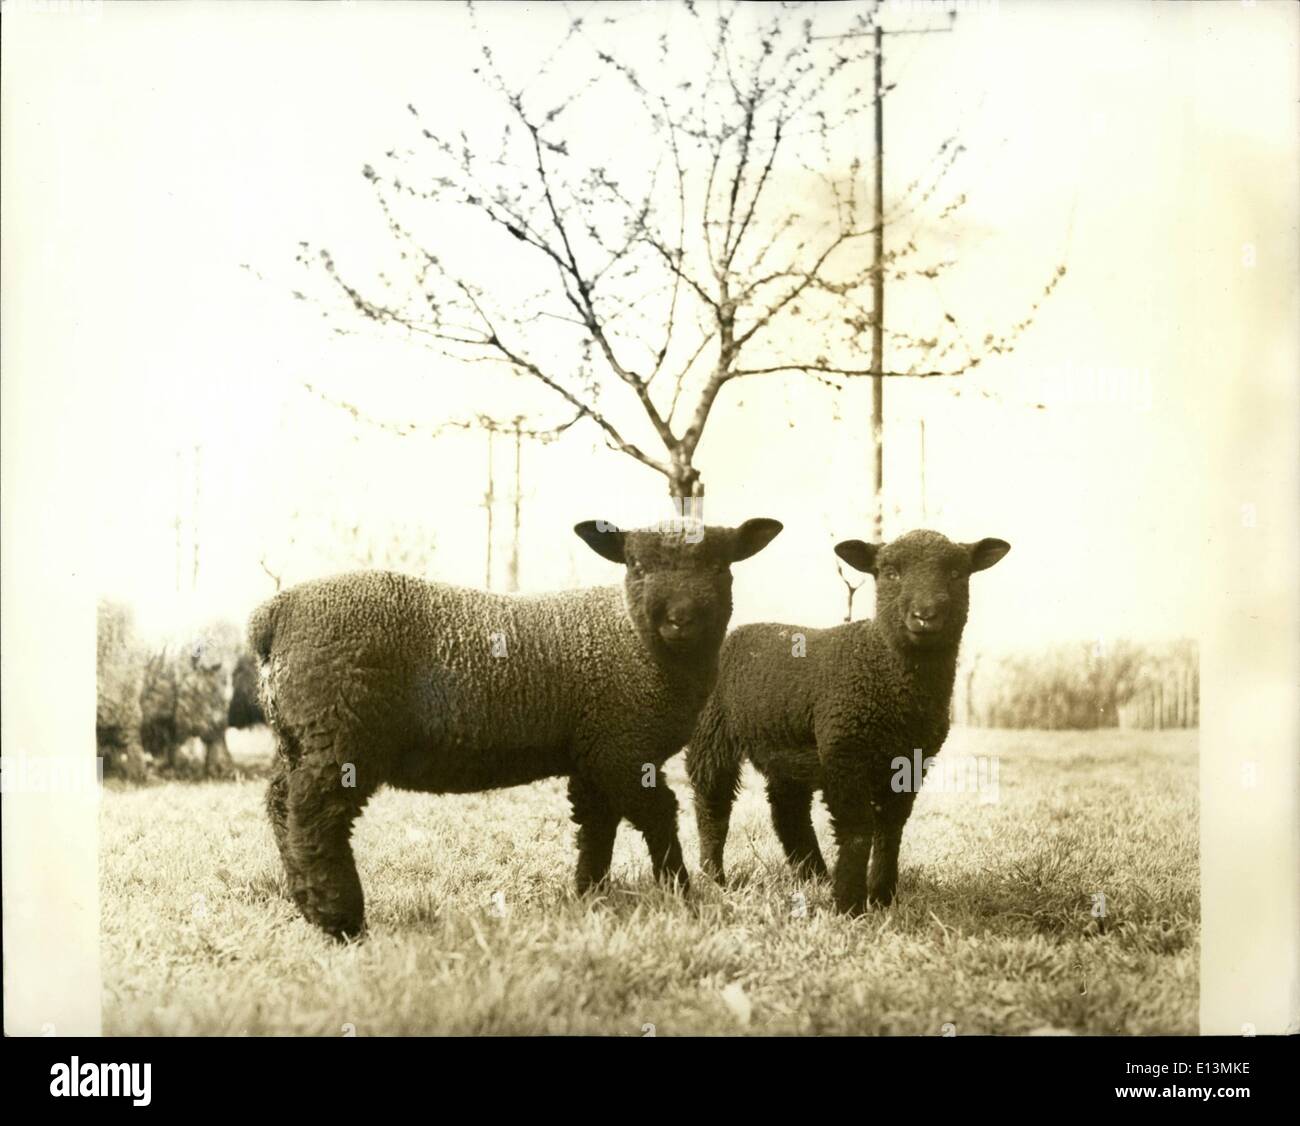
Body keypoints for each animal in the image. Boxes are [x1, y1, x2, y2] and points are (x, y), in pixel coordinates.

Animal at [249, 517, 782, 940]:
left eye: (720, 567)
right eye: (636, 566)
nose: (680, 620)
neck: (636, 640)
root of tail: (274, 615)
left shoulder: (593, 751)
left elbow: (596, 825)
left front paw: (590, 898)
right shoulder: (622, 748)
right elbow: (657, 816)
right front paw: (680, 893)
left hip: (300, 737)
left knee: (280, 802)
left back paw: (306, 904)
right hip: (341, 732)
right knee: (315, 816)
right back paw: (340, 920)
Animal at [686, 529, 1009, 916]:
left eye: (958, 573)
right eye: (890, 573)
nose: (925, 616)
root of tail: (738, 631)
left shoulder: (910, 761)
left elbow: (891, 827)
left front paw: (883, 897)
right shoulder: (844, 751)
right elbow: (857, 828)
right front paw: (850, 905)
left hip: (789, 750)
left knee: (788, 811)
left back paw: (814, 876)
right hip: (711, 735)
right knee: (712, 805)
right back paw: (714, 878)